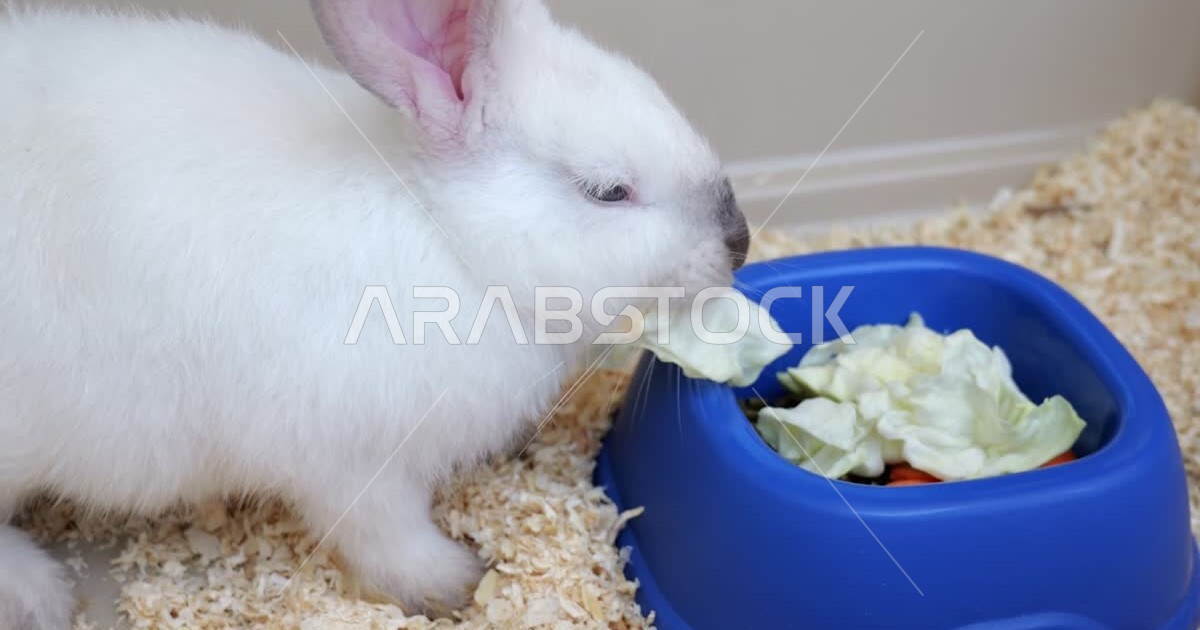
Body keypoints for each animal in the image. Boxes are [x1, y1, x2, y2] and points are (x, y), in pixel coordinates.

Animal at [0, 0, 749, 626]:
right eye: (607, 191)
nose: (739, 240)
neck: (447, 235)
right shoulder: (351, 460)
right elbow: (384, 531)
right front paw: (454, 582)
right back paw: (40, 593)